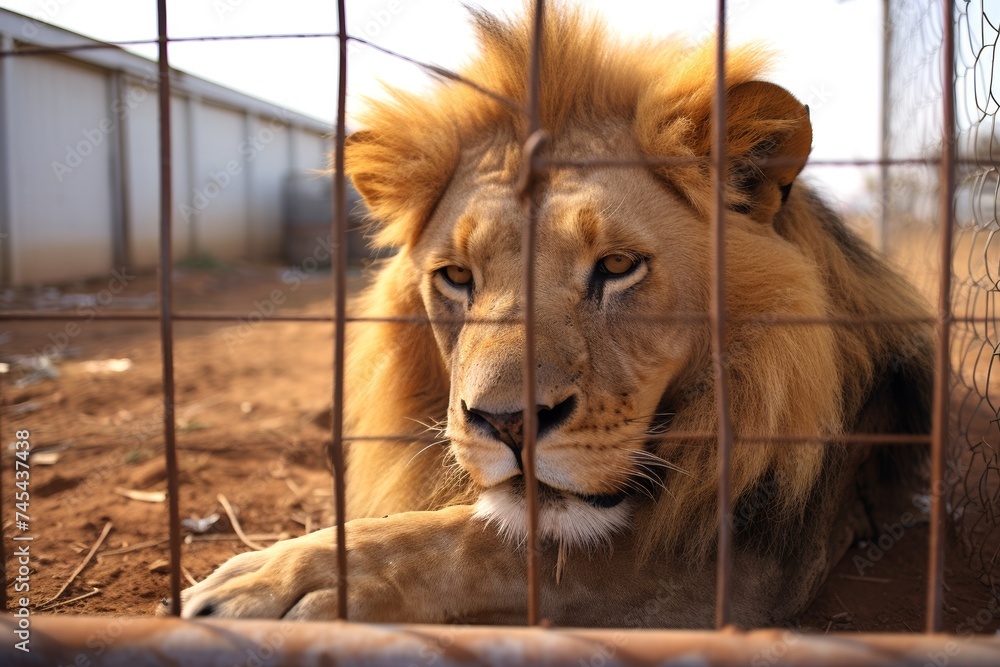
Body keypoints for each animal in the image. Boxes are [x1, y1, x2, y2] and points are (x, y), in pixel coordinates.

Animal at [168, 6, 932, 627]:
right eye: (457, 277)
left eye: (618, 266)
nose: (506, 423)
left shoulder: (746, 564)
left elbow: (480, 537)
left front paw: (281, 579)